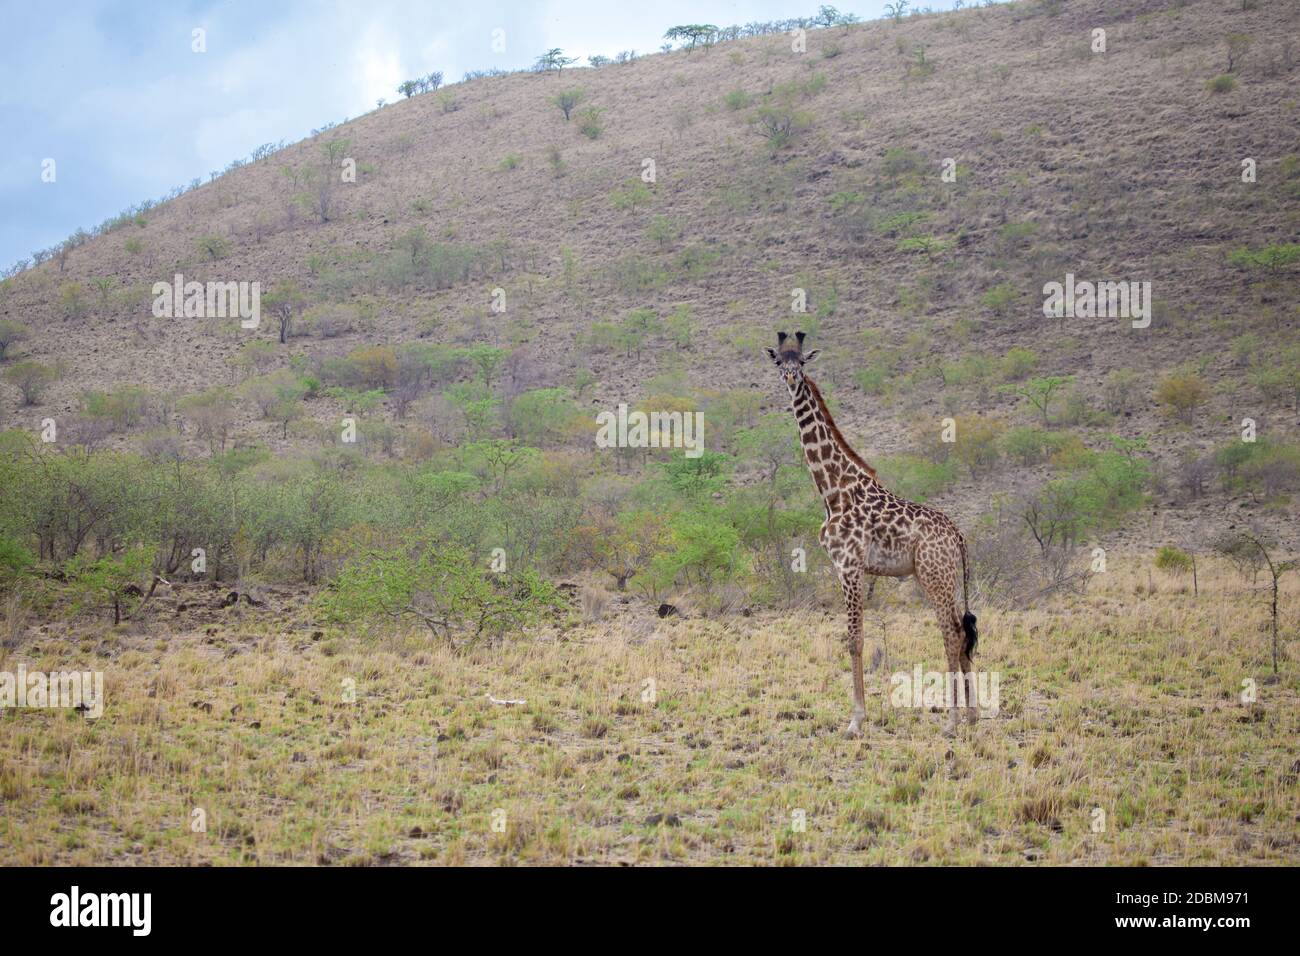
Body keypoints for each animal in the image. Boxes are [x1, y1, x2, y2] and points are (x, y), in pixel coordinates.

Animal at [765, 331, 979, 736]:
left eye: (801, 362)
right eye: (779, 363)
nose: (790, 378)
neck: (833, 490)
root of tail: (958, 536)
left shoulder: (849, 566)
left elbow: (855, 639)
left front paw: (856, 719)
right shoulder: (844, 568)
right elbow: (853, 638)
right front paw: (858, 716)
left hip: (934, 575)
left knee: (952, 633)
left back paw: (952, 722)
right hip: (944, 577)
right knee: (963, 632)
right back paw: (973, 715)